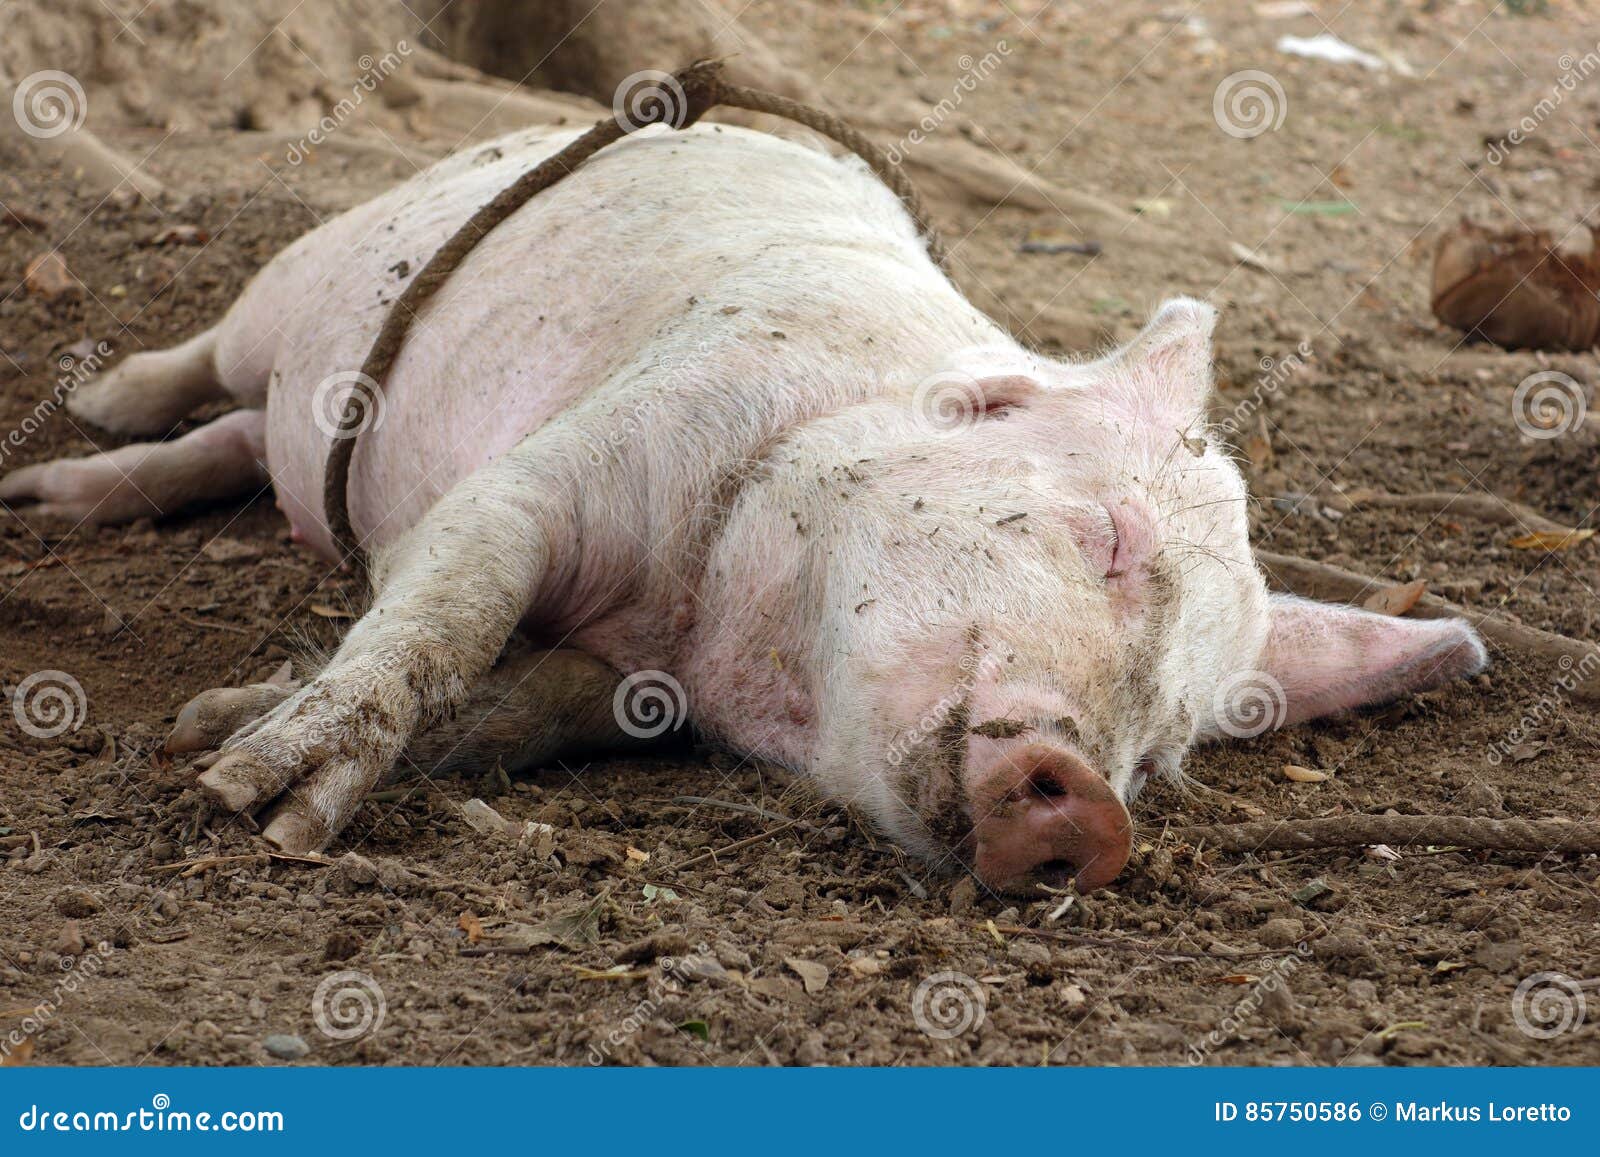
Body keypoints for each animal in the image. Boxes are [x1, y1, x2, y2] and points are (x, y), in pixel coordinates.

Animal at [0, 122, 1487, 891]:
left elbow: (515, 703)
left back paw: (67, 495)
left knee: (245, 438)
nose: (1093, 815)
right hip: (316, 266)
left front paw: (212, 725)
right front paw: (256, 800)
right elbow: (453, 603)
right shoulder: (584, 450)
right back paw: (74, 446)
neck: (710, 625)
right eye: (1107, 539)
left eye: (1170, 743)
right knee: (213, 363)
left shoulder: (623, 678)